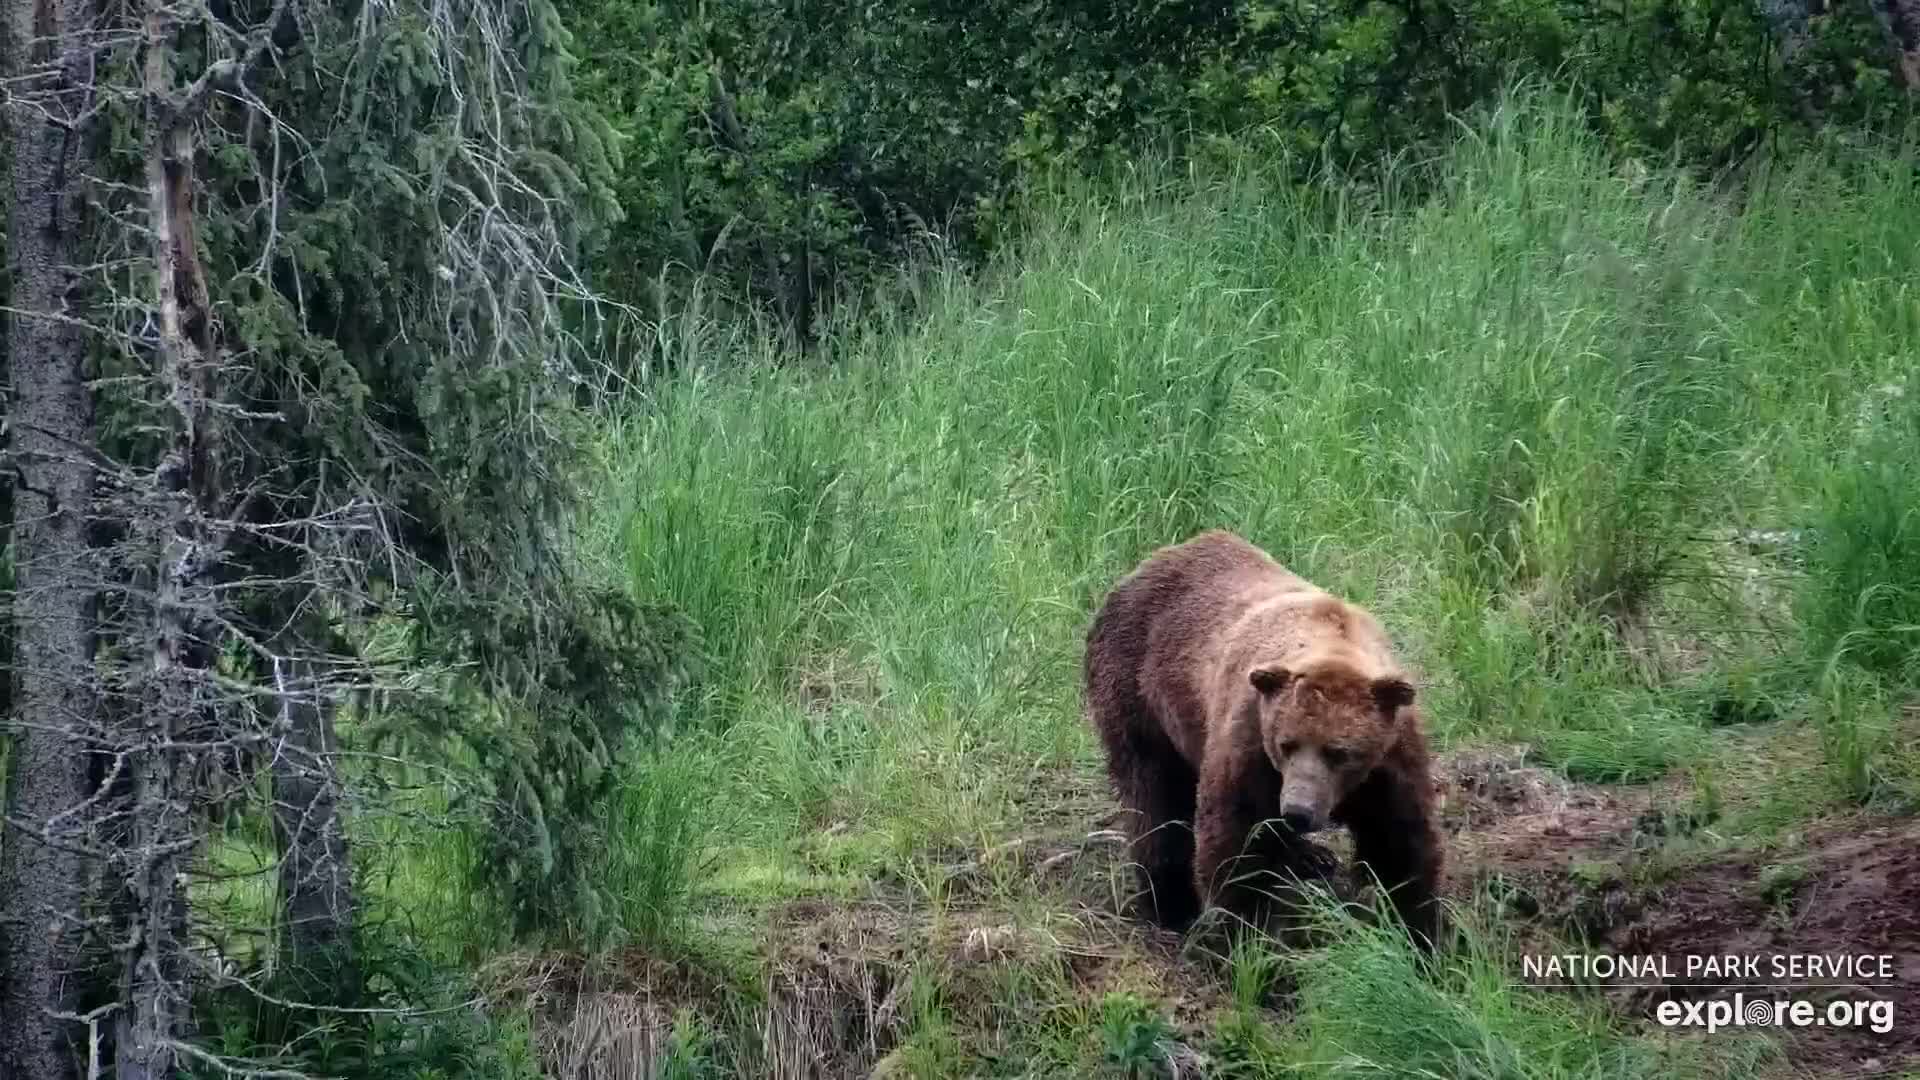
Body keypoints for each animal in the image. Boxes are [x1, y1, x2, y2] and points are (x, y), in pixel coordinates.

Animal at [1083, 528, 1444, 949]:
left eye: (1339, 752)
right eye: (1287, 744)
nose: (1299, 810)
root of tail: (1144, 566)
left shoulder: (1390, 760)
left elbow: (1400, 844)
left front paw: (1417, 934)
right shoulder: (1250, 739)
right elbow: (1236, 838)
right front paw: (1243, 935)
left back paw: (1308, 856)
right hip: (1139, 690)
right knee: (1155, 797)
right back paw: (1171, 903)